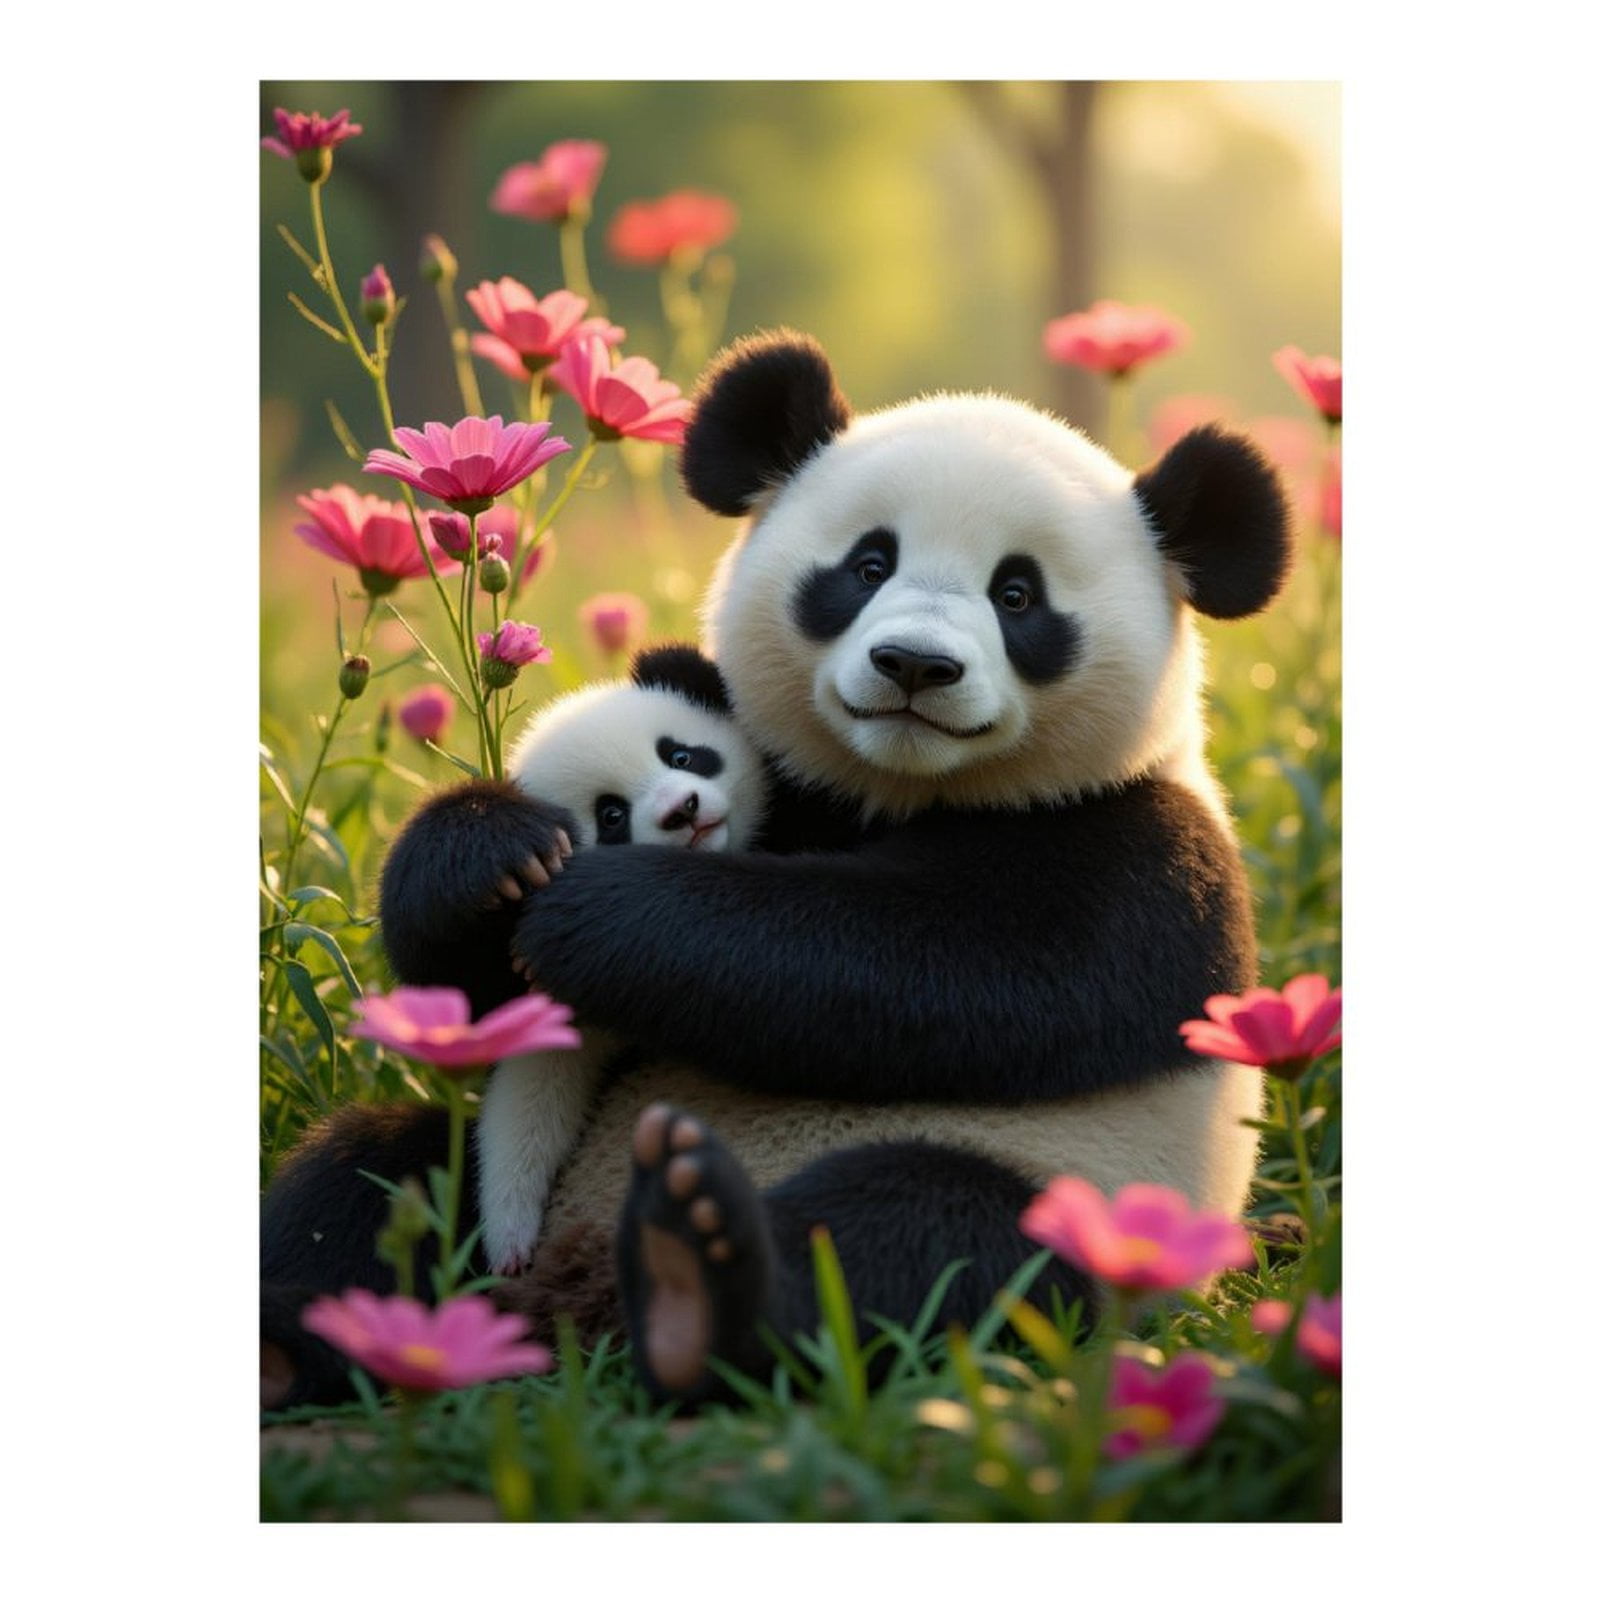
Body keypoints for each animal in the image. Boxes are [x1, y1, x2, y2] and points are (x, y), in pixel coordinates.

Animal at [477, 650, 767, 1276]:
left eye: (680, 755)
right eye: (610, 814)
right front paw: (510, 1241)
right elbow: (535, 1082)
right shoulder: (573, 983)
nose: (683, 810)